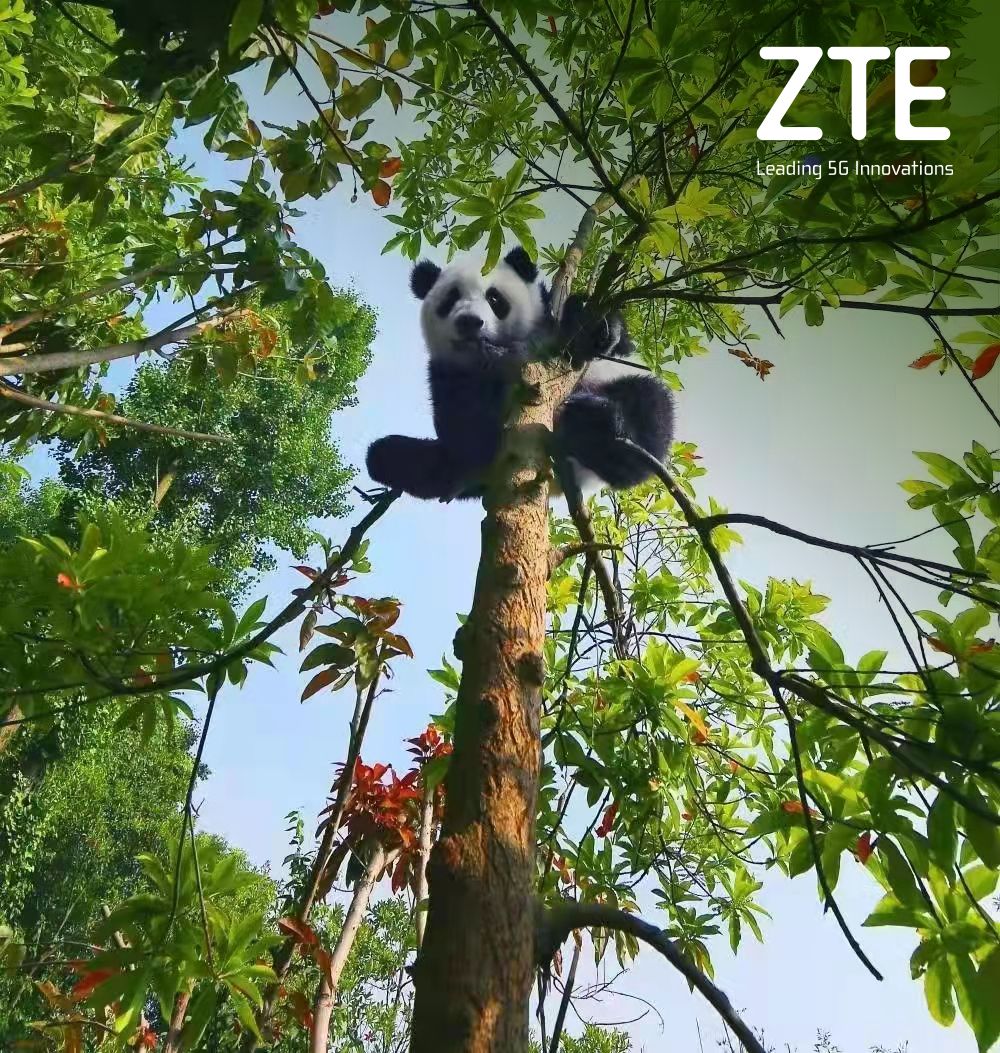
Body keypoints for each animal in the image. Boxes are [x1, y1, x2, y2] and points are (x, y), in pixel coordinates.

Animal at [365, 246, 673, 501]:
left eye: (494, 298)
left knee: (649, 409)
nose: (469, 322)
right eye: (450, 299)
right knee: (416, 463)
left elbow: (610, 339)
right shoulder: (449, 374)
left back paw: (597, 422)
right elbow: (467, 435)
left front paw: (592, 324)